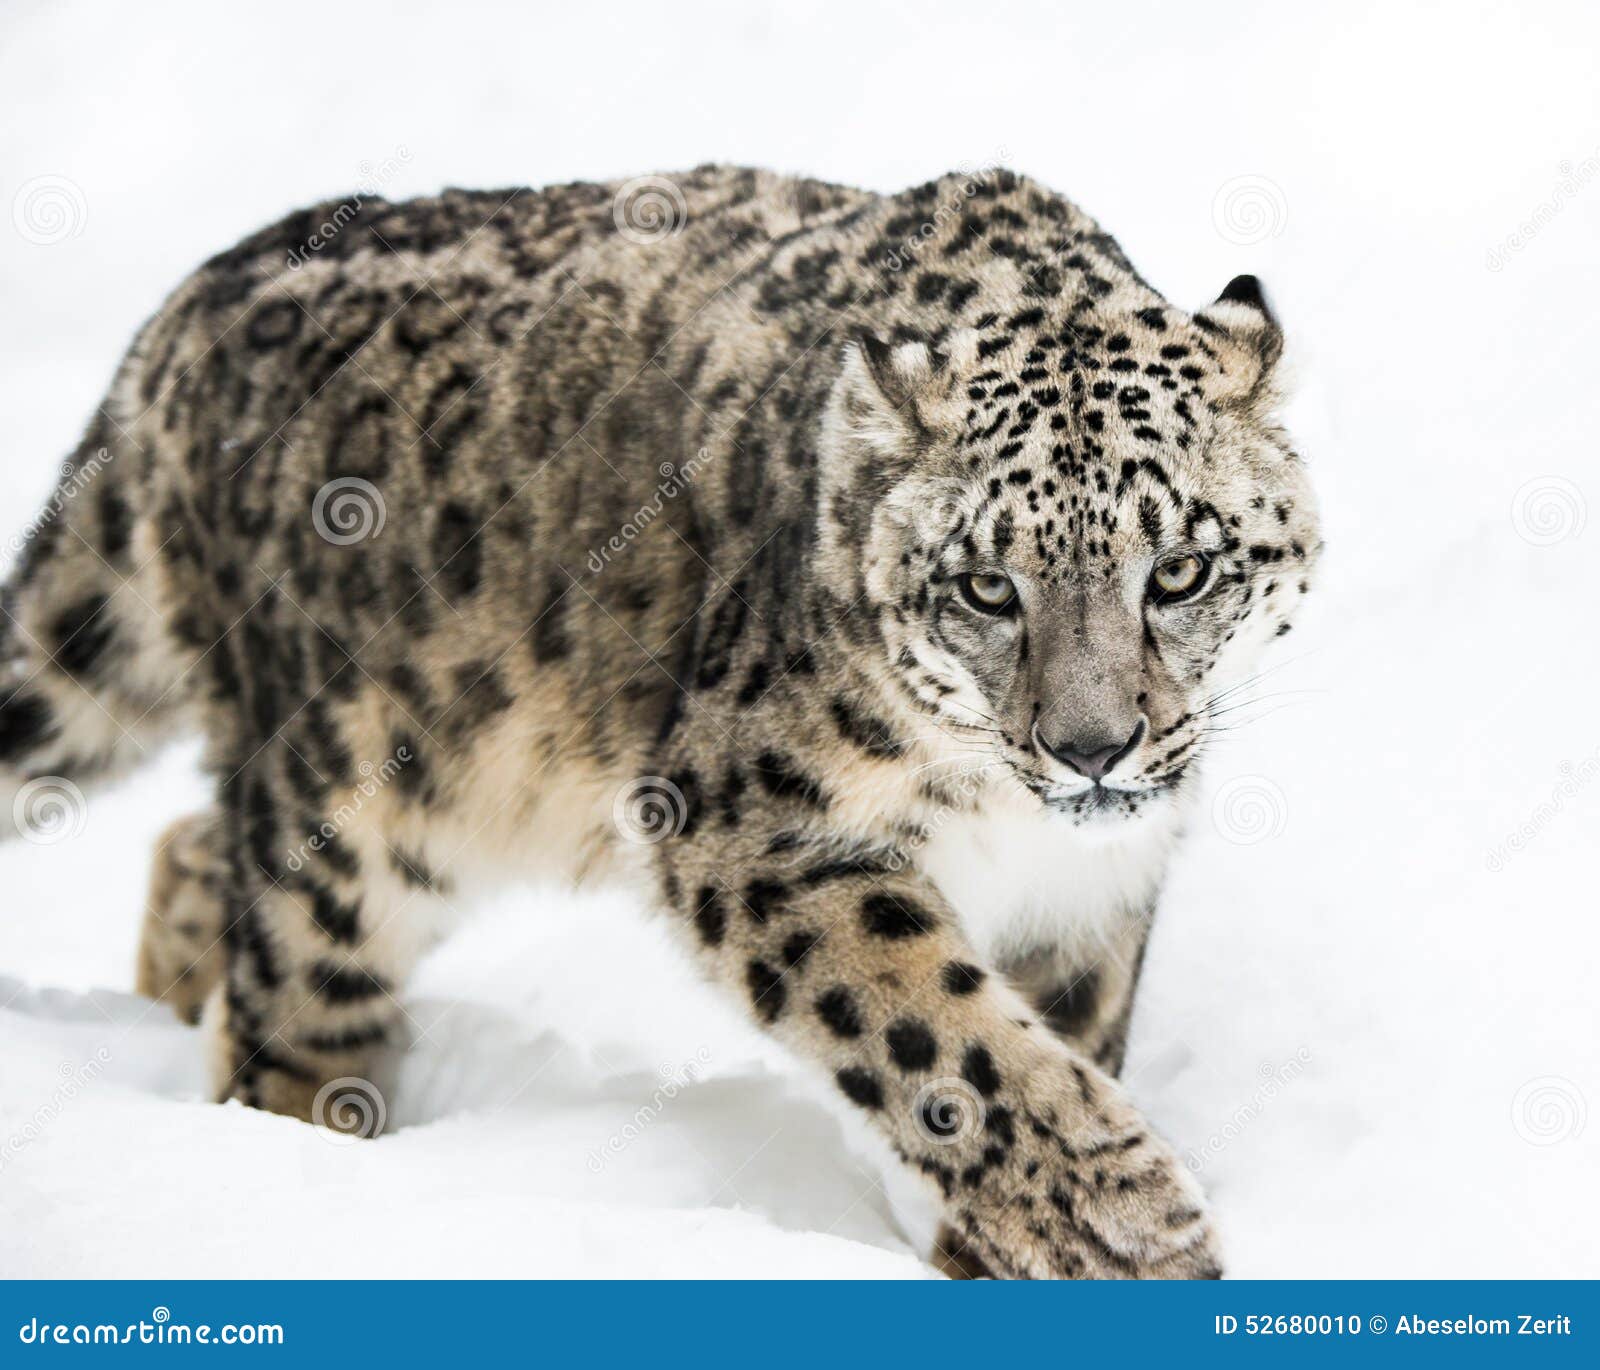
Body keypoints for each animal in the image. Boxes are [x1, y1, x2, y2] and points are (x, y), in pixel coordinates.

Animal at [0, 164, 1320, 1279]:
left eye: (1180, 570)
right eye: (989, 587)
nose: (1091, 747)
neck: (1009, 818)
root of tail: (191, 307)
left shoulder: (1091, 890)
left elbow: (1059, 1038)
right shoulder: (756, 824)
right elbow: (941, 1033)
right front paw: (1129, 1224)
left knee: (193, 846)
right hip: (343, 804)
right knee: (290, 988)